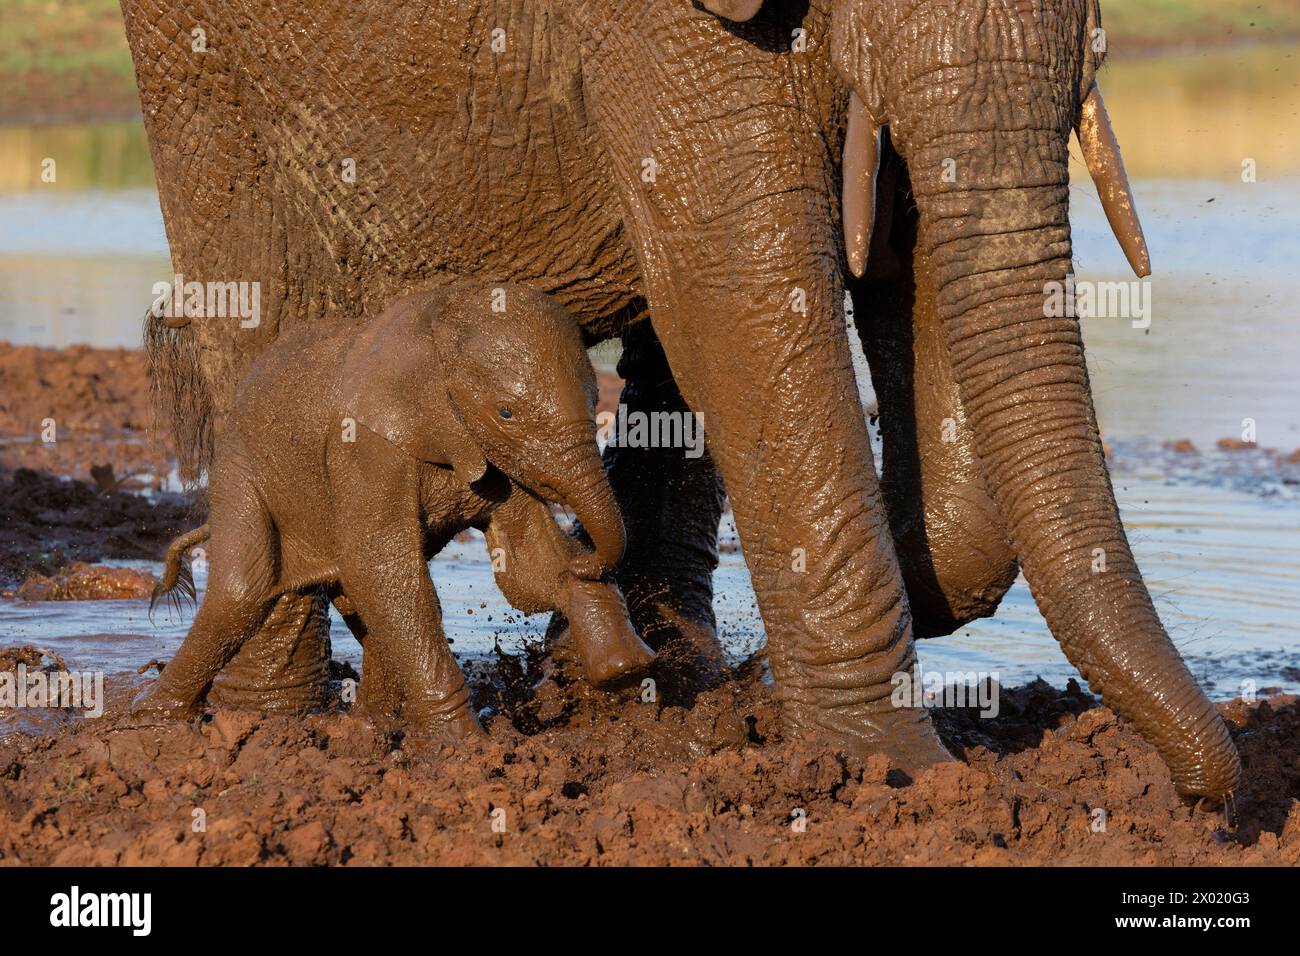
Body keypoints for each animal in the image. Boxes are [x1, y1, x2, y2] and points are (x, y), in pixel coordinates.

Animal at [134, 283, 655, 735]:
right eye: (506, 413)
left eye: (597, 399)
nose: (587, 553)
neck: (437, 334)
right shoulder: (365, 448)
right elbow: (382, 569)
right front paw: (464, 747)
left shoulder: (496, 460)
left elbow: (528, 568)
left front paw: (625, 667)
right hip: (241, 466)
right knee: (242, 592)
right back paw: (150, 718)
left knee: (352, 602)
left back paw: (369, 727)